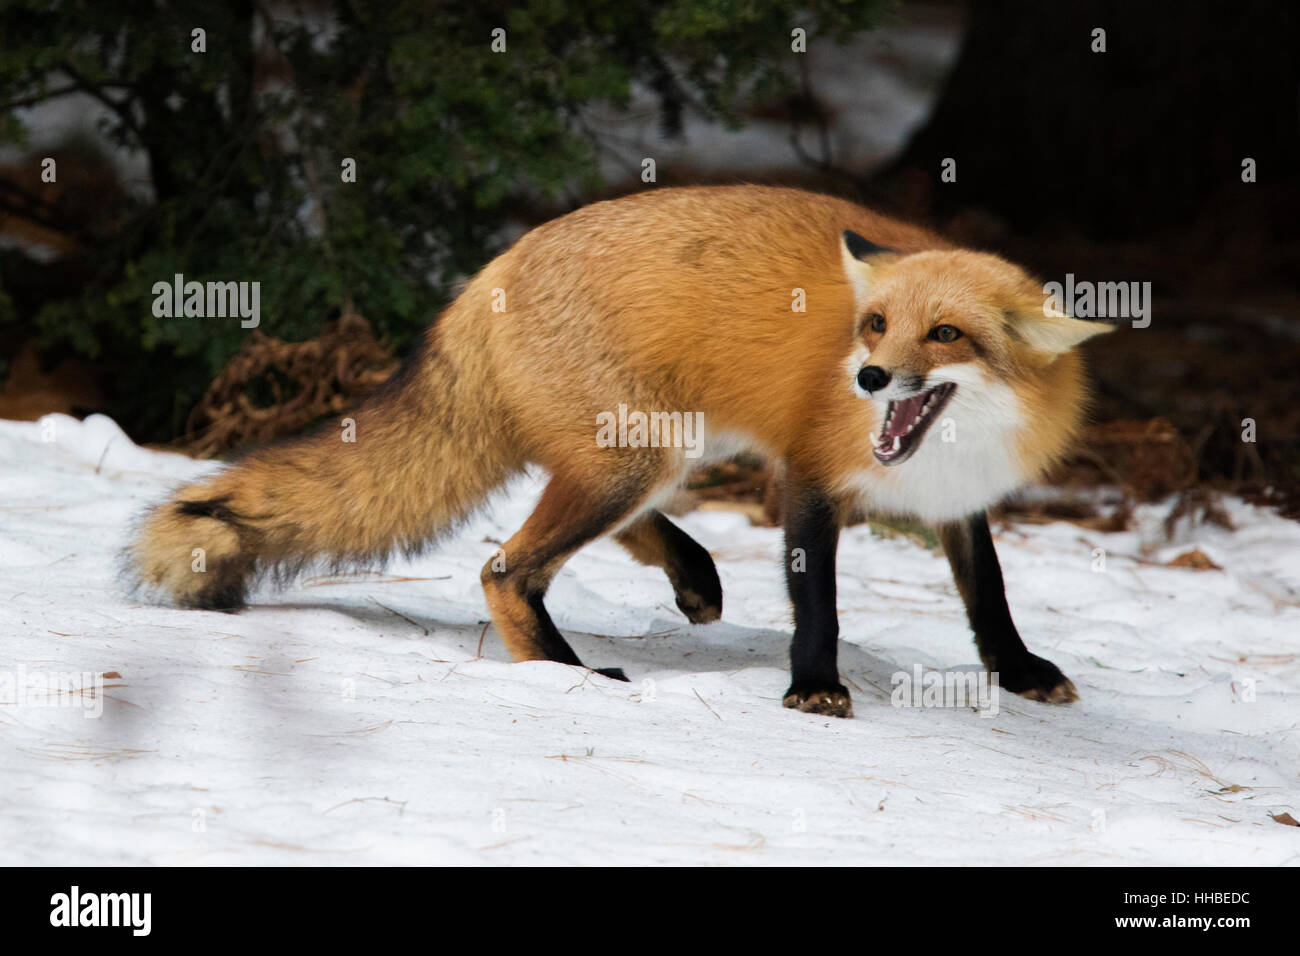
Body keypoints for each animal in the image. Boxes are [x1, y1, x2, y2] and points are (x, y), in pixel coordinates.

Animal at [127, 185, 1112, 718]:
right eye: (875, 323)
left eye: (945, 333)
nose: (868, 376)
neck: (944, 448)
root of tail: (492, 267)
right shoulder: (809, 478)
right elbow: (818, 606)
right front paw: (814, 689)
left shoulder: (961, 501)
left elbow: (990, 595)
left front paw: (1020, 672)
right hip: (636, 457)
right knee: (505, 568)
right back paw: (567, 672)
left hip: (657, 449)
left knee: (611, 529)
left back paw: (692, 579)